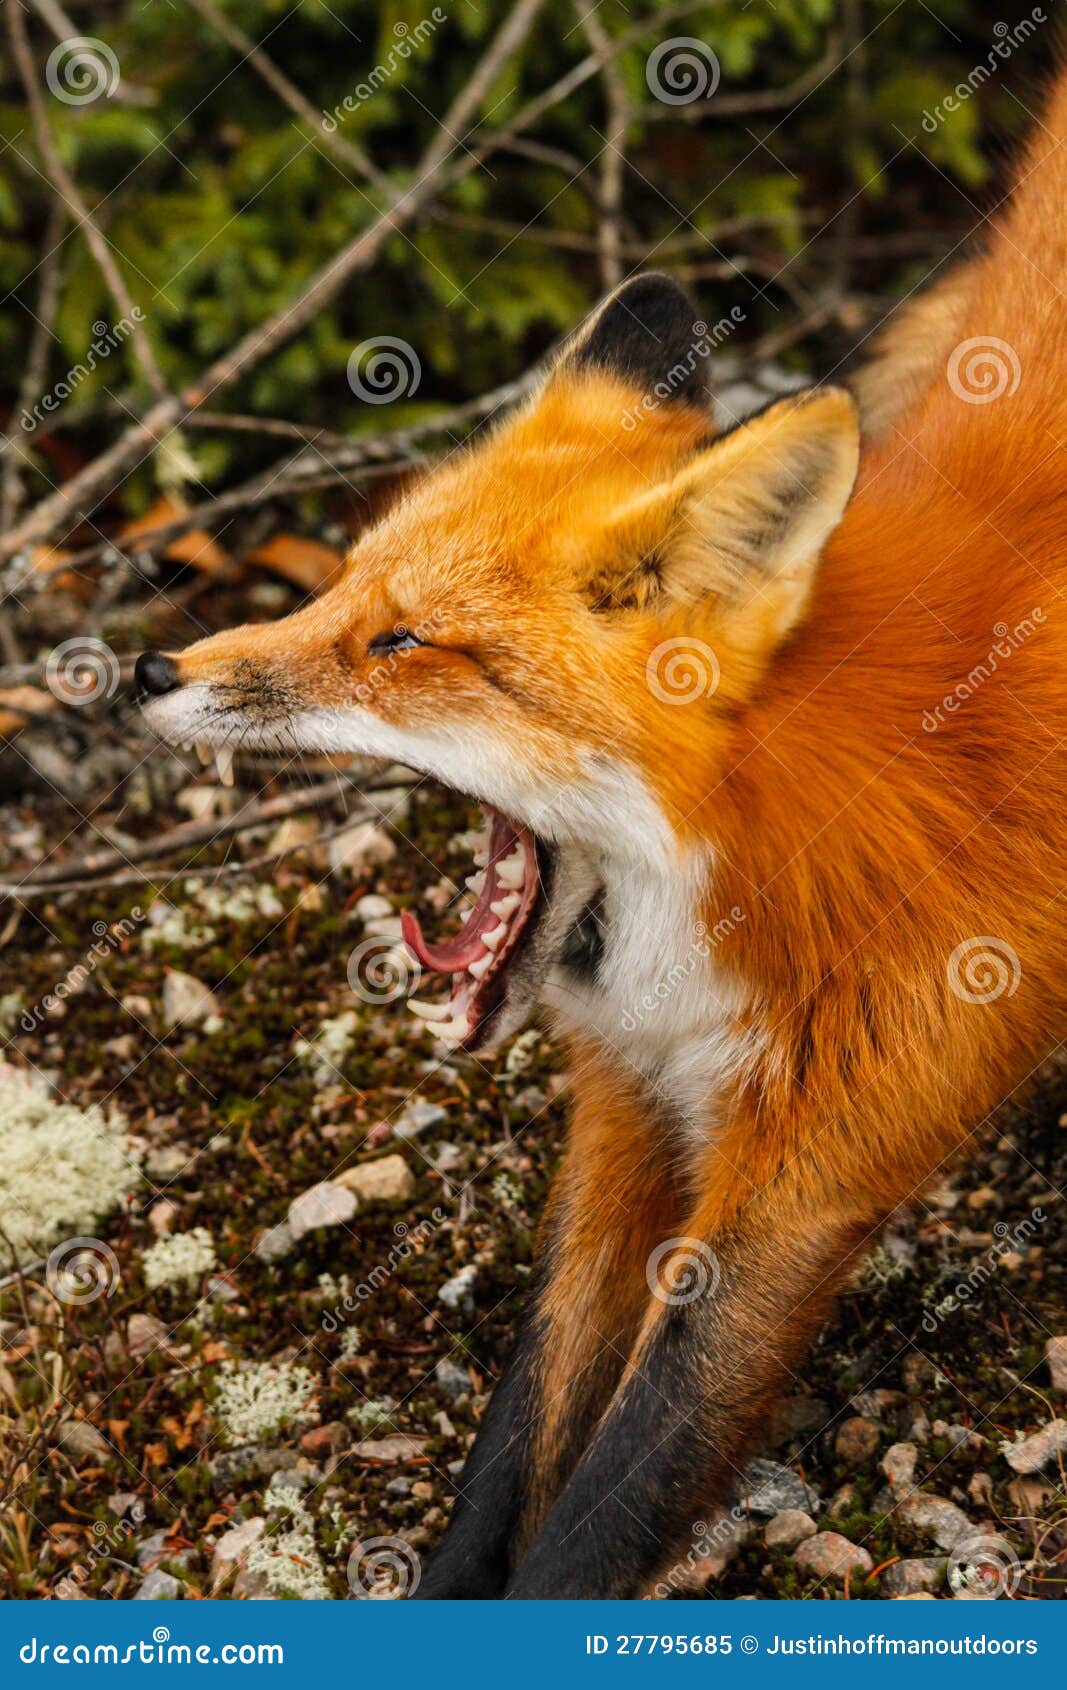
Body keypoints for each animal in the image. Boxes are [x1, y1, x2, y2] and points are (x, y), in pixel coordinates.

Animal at [136, 71, 1067, 1599]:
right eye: (337, 587)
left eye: (404, 644)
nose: (150, 670)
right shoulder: (628, 1108)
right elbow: (522, 1431)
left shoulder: (810, 1172)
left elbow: (610, 1499)